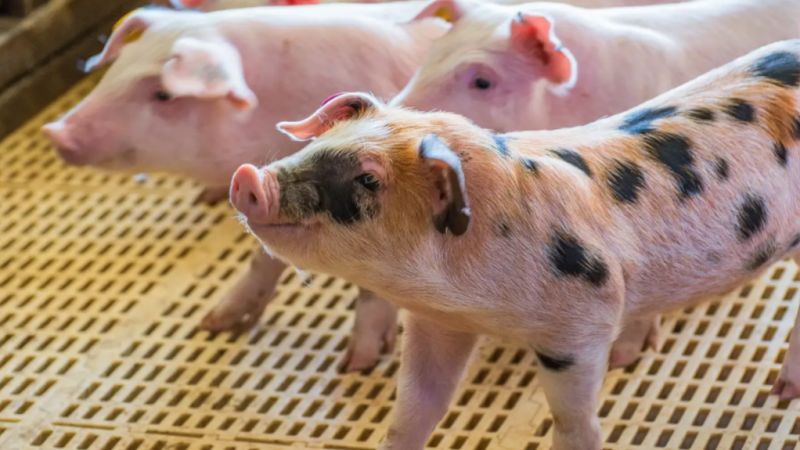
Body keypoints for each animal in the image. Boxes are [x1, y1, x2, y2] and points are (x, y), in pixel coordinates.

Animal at [41, 3, 448, 372]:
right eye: (114, 71)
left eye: (164, 95)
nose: (55, 132)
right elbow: (263, 256)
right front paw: (214, 323)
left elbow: (371, 285)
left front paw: (355, 365)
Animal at [230, 40, 800, 450]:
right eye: (320, 143)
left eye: (369, 179)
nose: (248, 178)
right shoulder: (437, 323)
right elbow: (412, 414)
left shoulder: (578, 329)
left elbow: (573, 424)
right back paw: (630, 356)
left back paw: (782, 392)